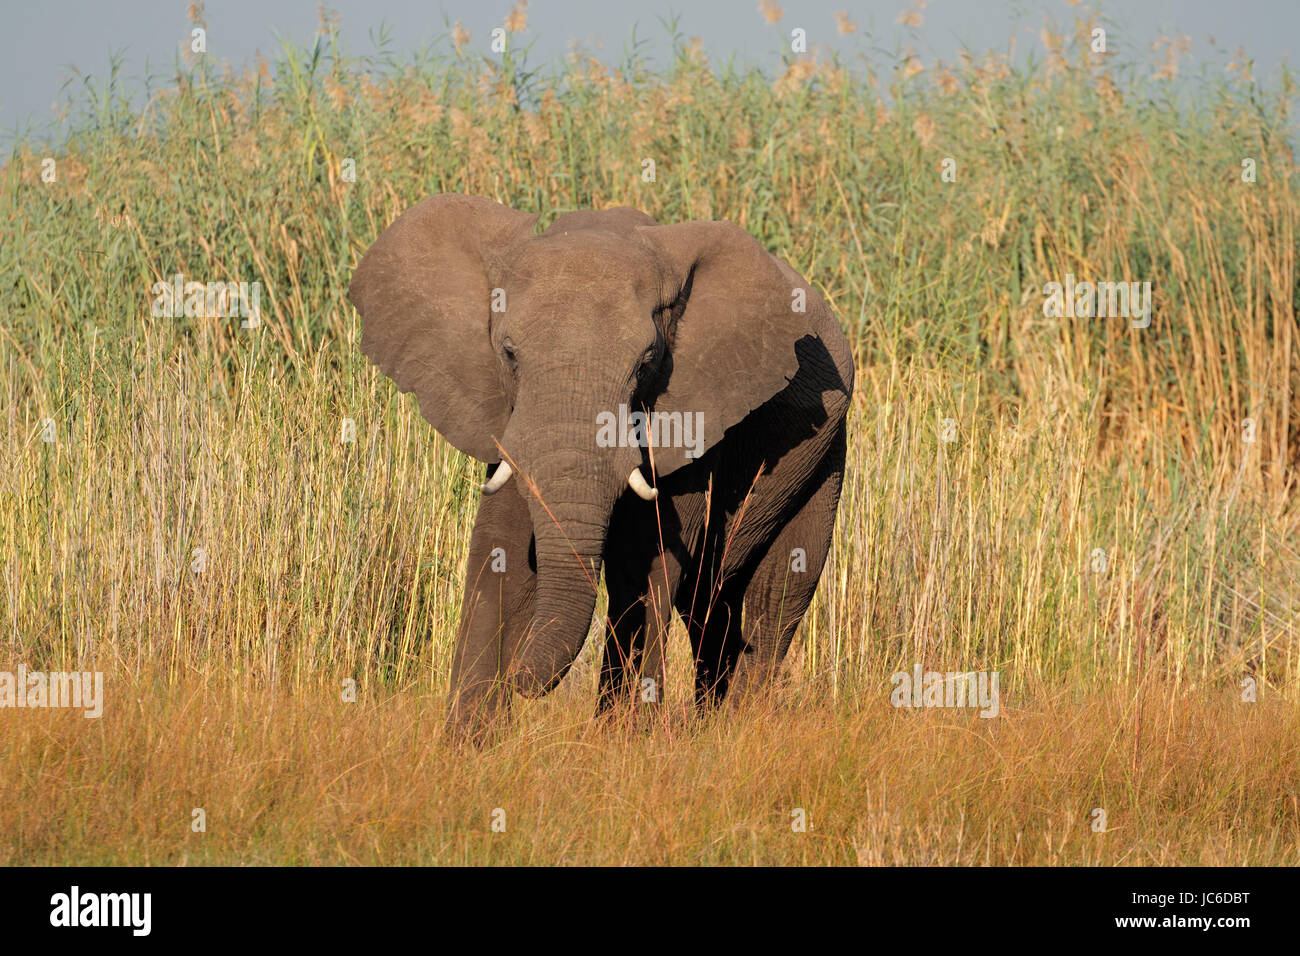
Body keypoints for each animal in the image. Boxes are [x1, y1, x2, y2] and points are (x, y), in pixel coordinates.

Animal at [348, 193, 854, 740]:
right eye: (508, 354)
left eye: (648, 360)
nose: (520, 680)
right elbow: (501, 551)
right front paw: (470, 744)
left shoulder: (691, 412)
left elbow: (644, 563)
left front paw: (623, 740)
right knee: (710, 604)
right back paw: (709, 723)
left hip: (824, 457)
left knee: (773, 595)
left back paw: (741, 725)